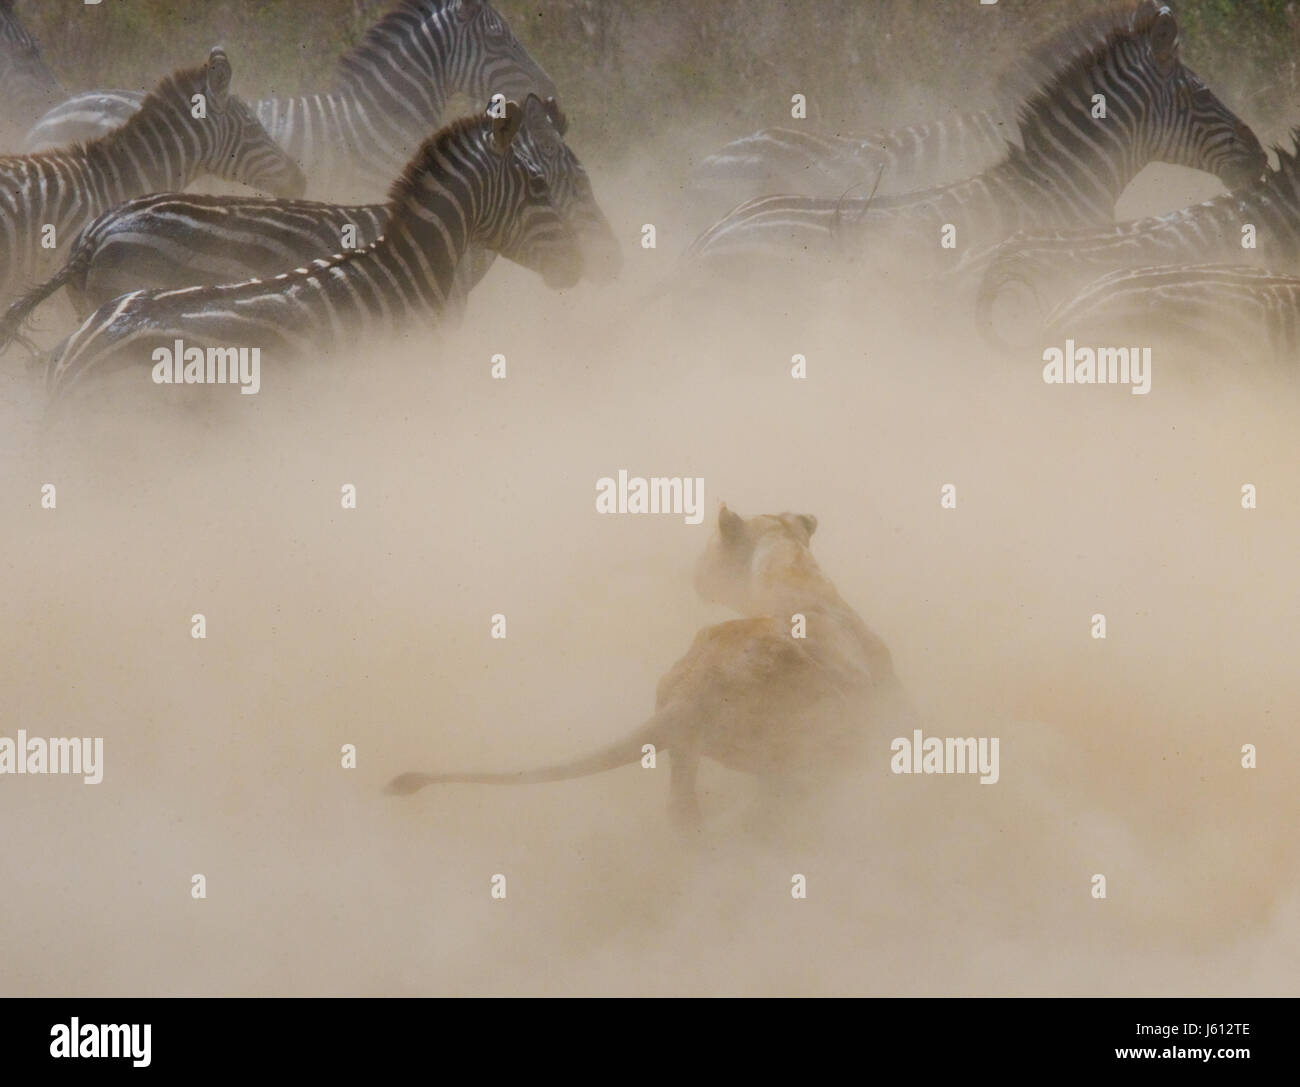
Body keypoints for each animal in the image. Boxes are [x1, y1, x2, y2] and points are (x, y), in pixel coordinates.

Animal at [386, 505, 911, 829]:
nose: (694, 576)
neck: (789, 573)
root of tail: (690, 695)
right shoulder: (885, 698)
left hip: (696, 750)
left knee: (684, 812)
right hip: (806, 744)